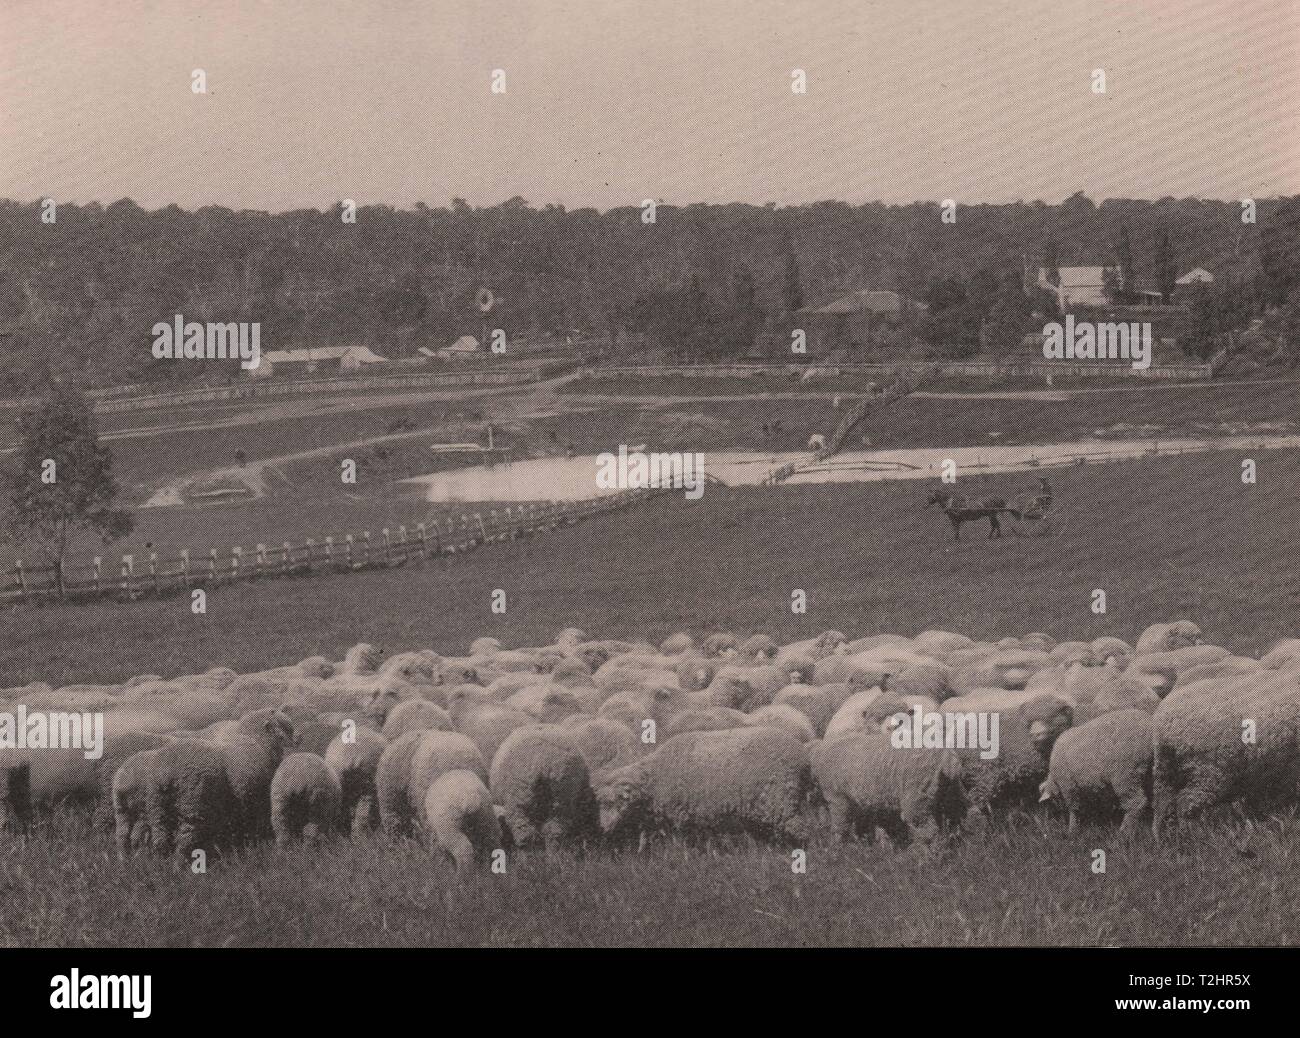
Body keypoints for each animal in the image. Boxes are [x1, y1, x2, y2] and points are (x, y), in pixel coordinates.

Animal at [596, 727, 809, 844]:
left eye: (612, 803)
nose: (604, 829)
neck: (655, 775)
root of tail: (800, 755)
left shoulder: (679, 812)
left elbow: (681, 841)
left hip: (779, 797)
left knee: (798, 827)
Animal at [810, 731, 965, 847]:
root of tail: (948, 759)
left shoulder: (838, 798)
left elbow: (839, 827)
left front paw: (837, 849)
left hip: (917, 797)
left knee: (927, 831)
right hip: (950, 794)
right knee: (956, 819)